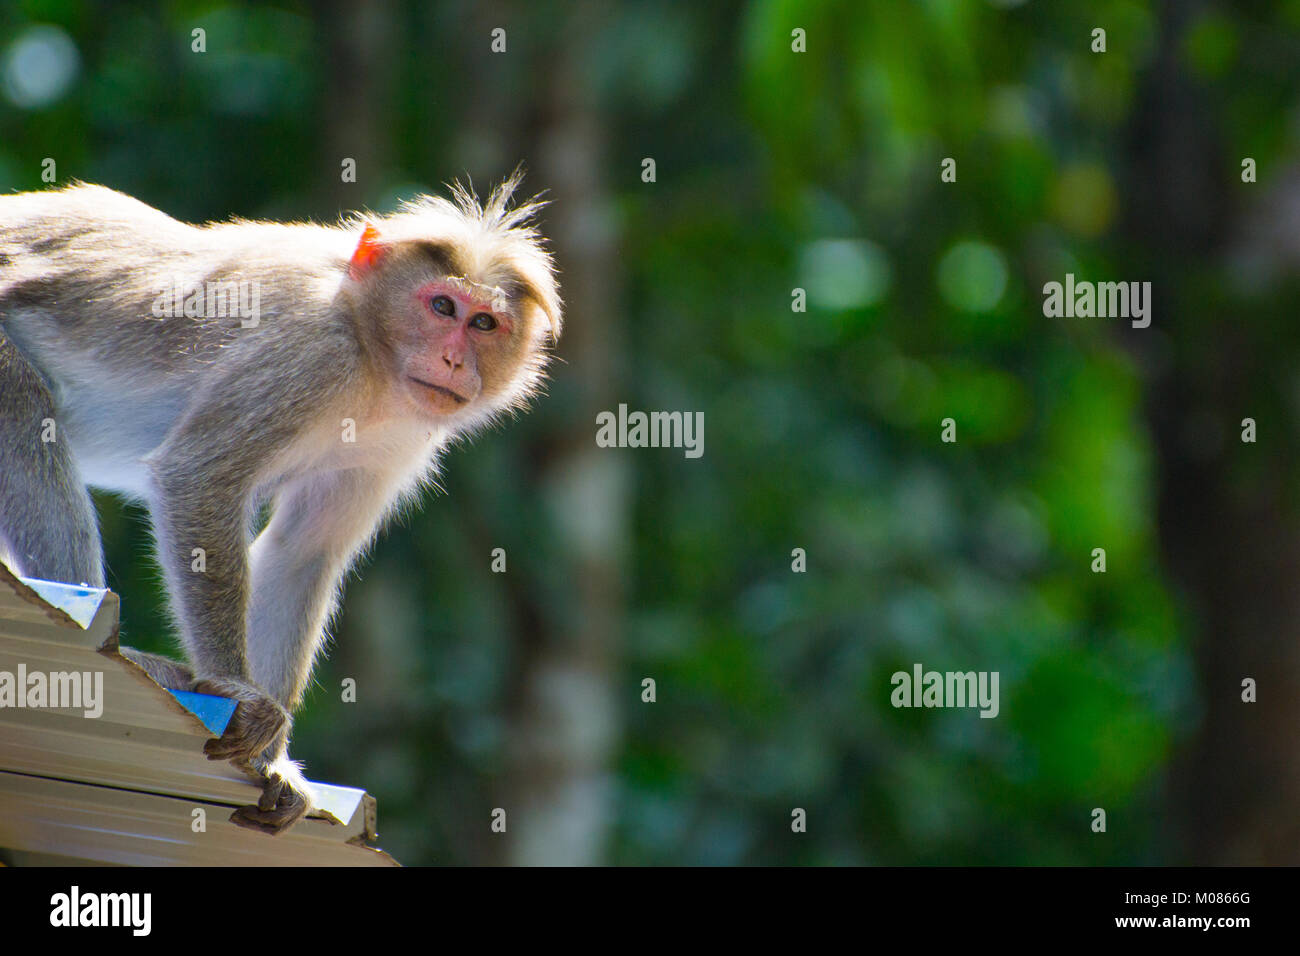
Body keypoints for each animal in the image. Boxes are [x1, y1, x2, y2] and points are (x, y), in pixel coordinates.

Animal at [0, 175, 561, 833]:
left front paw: (274, 764)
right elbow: (200, 476)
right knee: (21, 401)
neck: (371, 354)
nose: (453, 360)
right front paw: (235, 692)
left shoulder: (396, 441)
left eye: (484, 324)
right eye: (442, 307)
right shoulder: (309, 354)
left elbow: (303, 552)